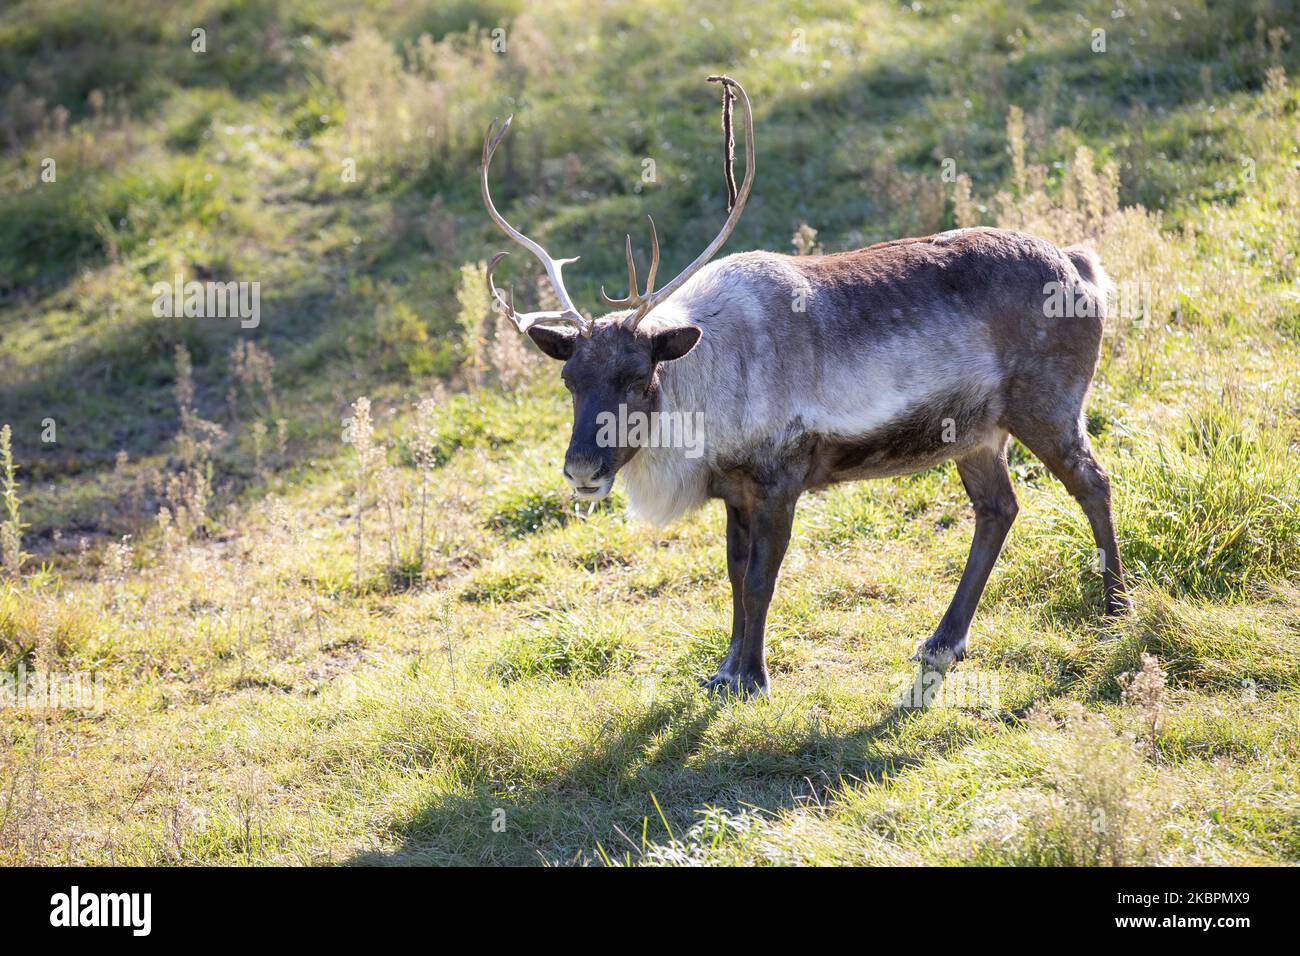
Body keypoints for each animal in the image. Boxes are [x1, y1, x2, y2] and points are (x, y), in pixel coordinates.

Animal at [479, 76, 1129, 698]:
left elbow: (761, 579)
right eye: (569, 380)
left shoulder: (780, 479)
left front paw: (753, 677)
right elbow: (734, 575)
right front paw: (724, 670)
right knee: (998, 508)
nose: (582, 469)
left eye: (640, 378)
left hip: (1048, 405)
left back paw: (1116, 609)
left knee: (1093, 483)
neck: (700, 392)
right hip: (975, 434)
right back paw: (944, 641)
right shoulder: (735, 489)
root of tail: (1081, 266)